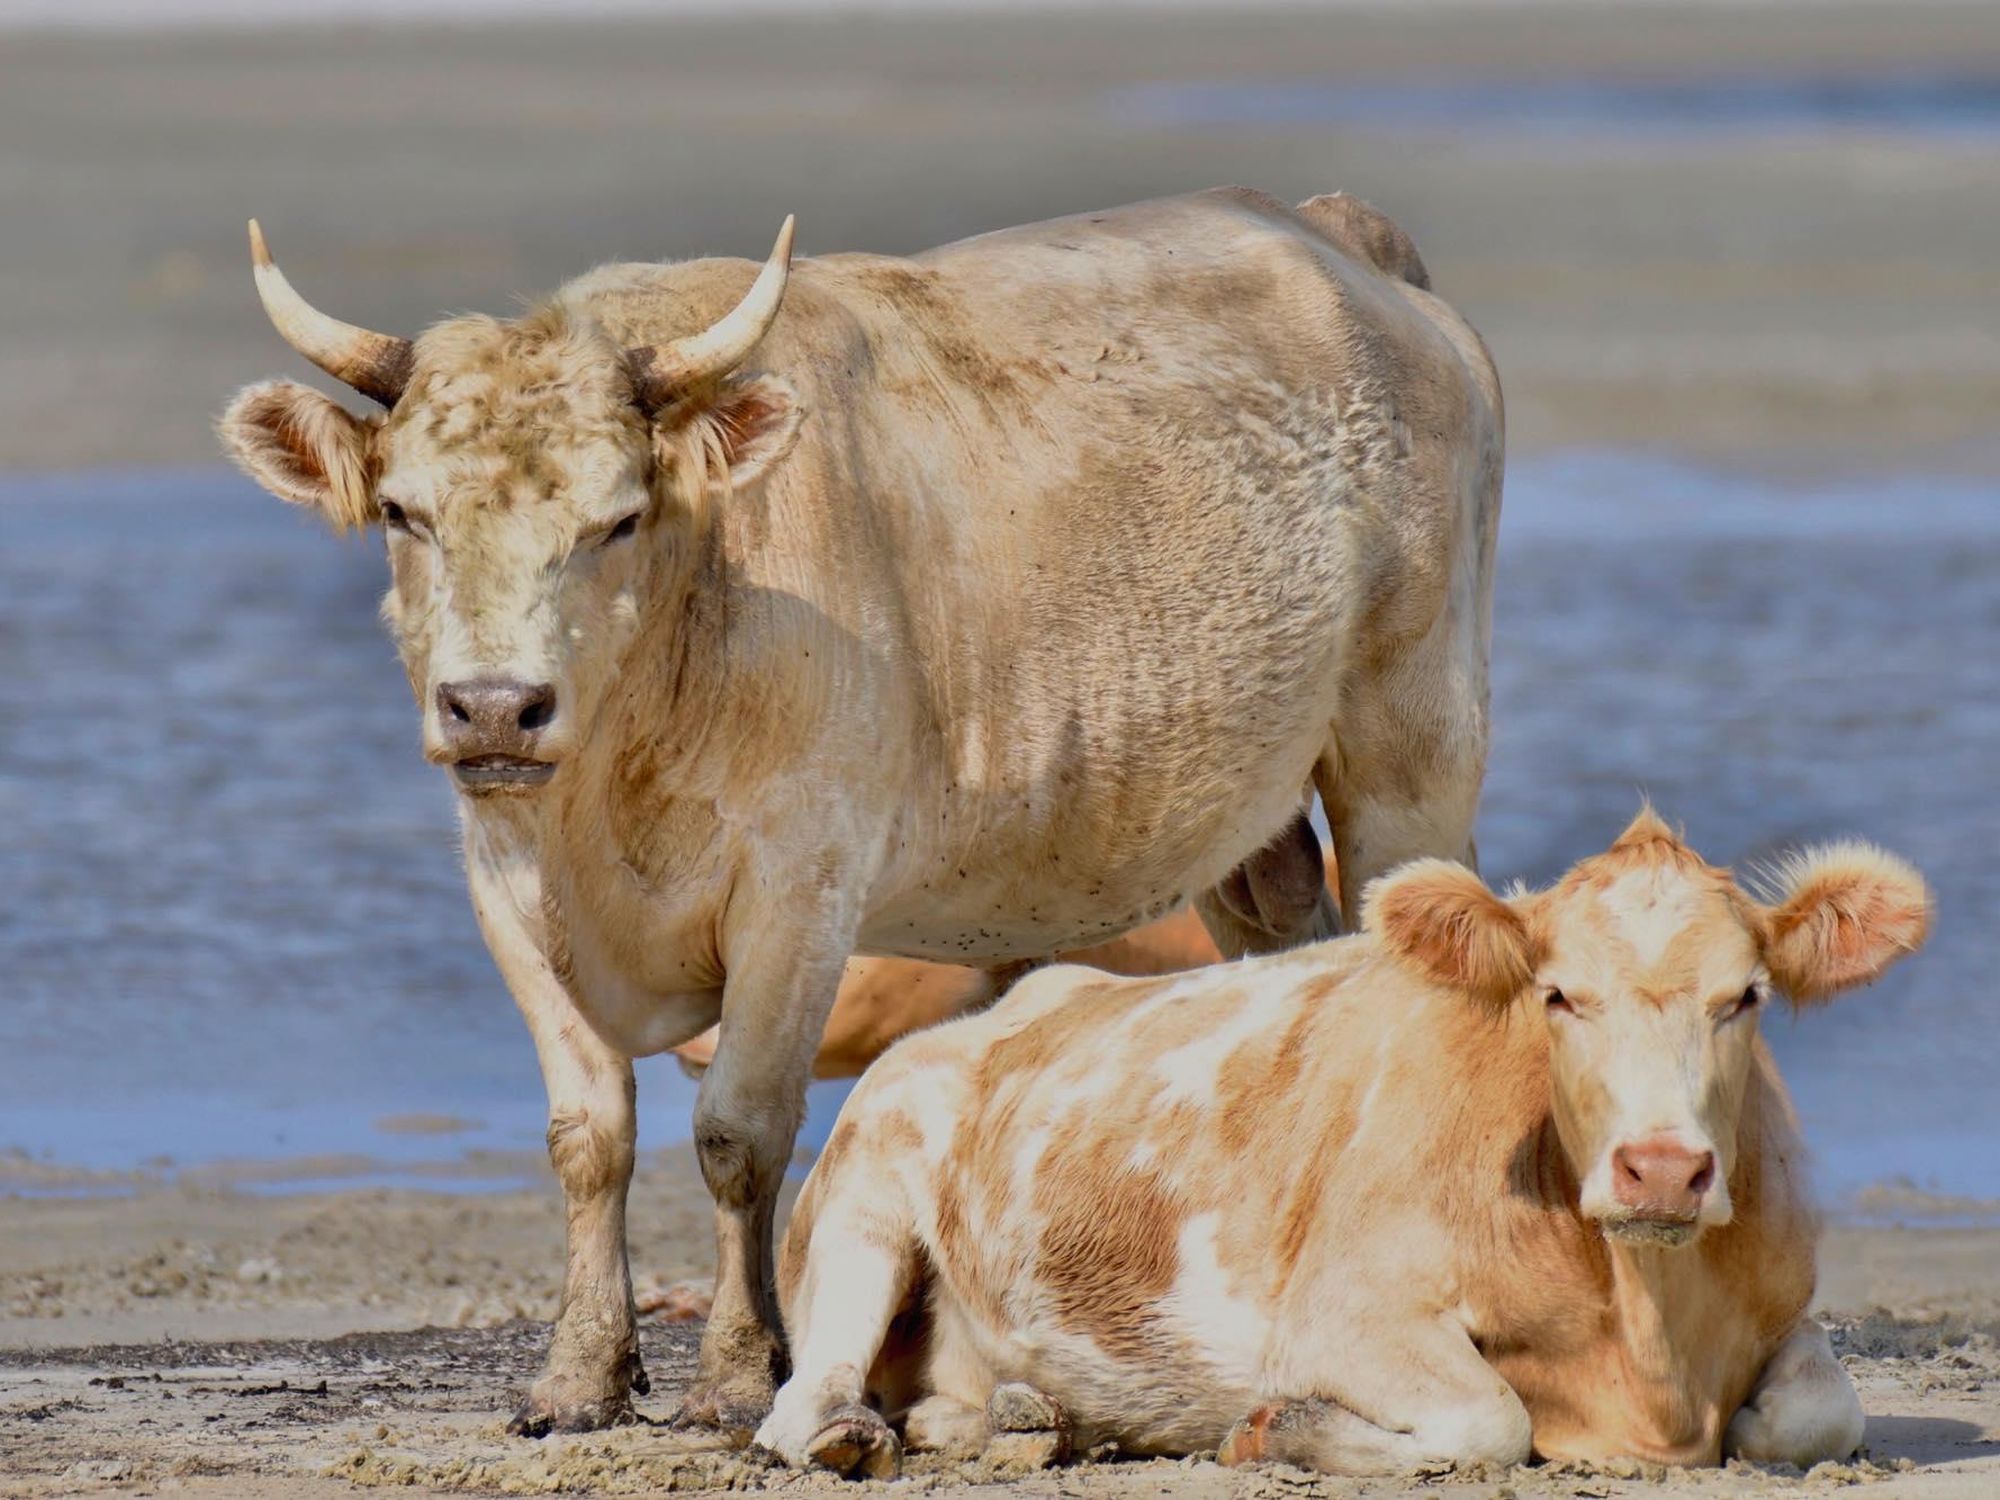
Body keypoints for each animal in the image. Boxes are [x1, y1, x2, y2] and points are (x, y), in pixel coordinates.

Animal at [217, 186, 1501, 1436]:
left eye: (617, 518)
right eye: (402, 512)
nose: (494, 706)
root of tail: (1329, 231)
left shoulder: (801, 889)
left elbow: (736, 1130)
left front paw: (740, 1374)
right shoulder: (505, 885)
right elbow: (588, 1136)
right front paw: (578, 1378)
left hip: (1410, 753)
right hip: (1243, 824)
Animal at [758, 810, 1932, 1476]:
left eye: (1745, 996)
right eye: (1558, 994)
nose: (1661, 1170)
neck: (1646, 1349)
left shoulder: (1788, 1311)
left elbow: (1815, 1416)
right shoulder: (1339, 1315)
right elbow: (1490, 1422)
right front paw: (1281, 1431)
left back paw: (1025, 1419)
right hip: (861, 1197)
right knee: (802, 1399)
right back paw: (855, 1434)